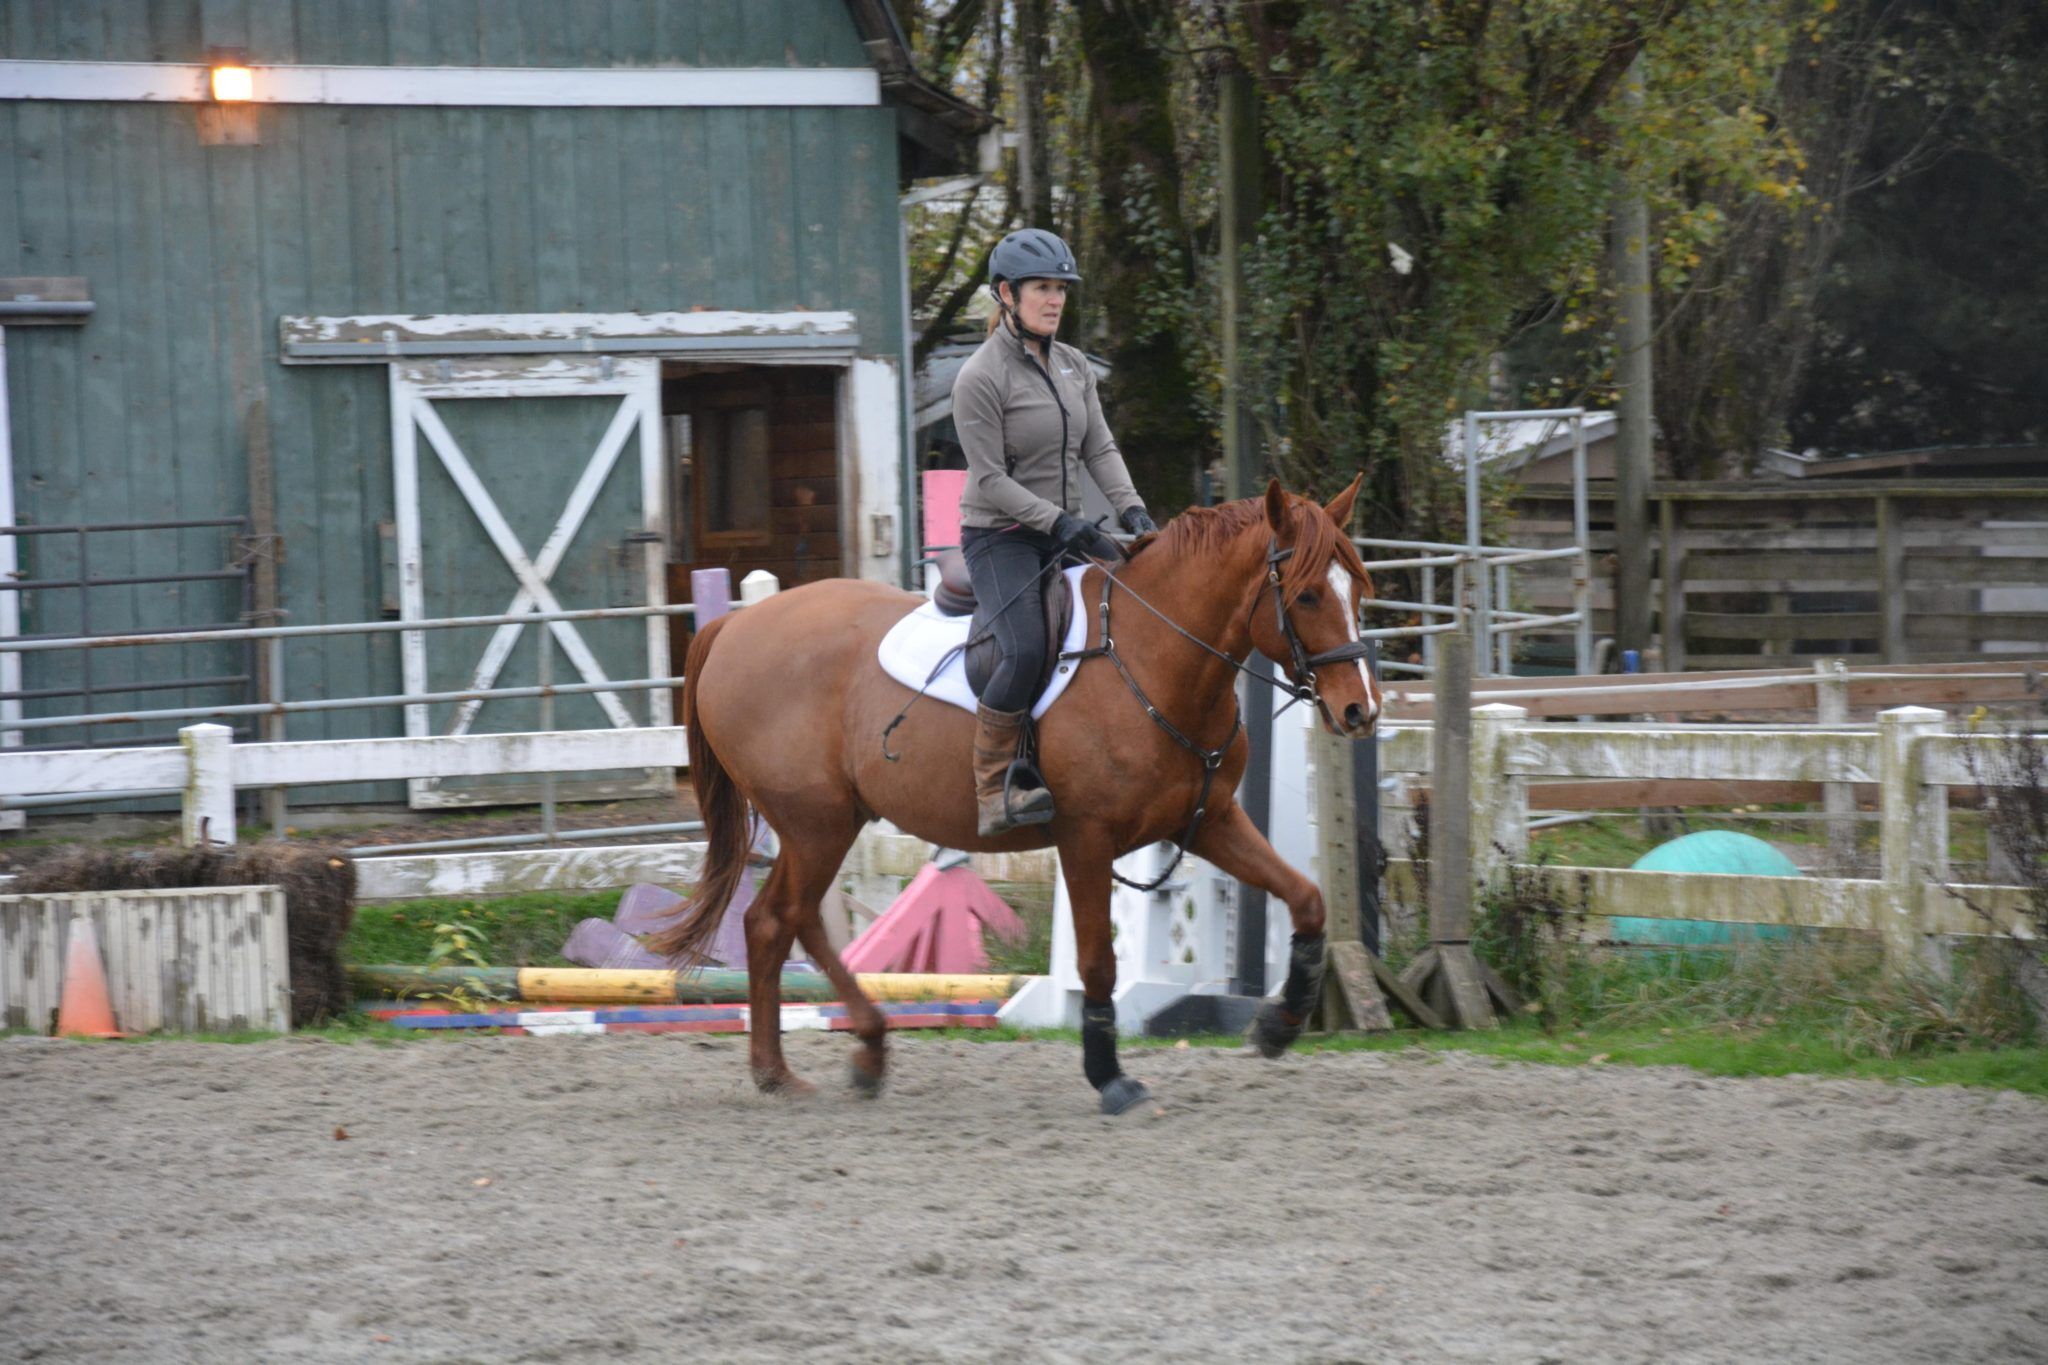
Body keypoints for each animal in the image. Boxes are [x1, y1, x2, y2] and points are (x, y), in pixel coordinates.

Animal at [646, 477, 1382, 1114]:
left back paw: (827, 1059)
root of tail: (736, 627)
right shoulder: (1086, 838)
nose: (1360, 711)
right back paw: (802, 1063)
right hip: (813, 823)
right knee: (779, 920)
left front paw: (1280, 1023)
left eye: (1359, 590)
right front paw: (1110, 1076)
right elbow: (1098, 961)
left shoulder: (1210, 821)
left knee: (782, 922)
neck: (1155, 655)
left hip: (826, 823)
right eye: (1308, 595)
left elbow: (1306, 900)